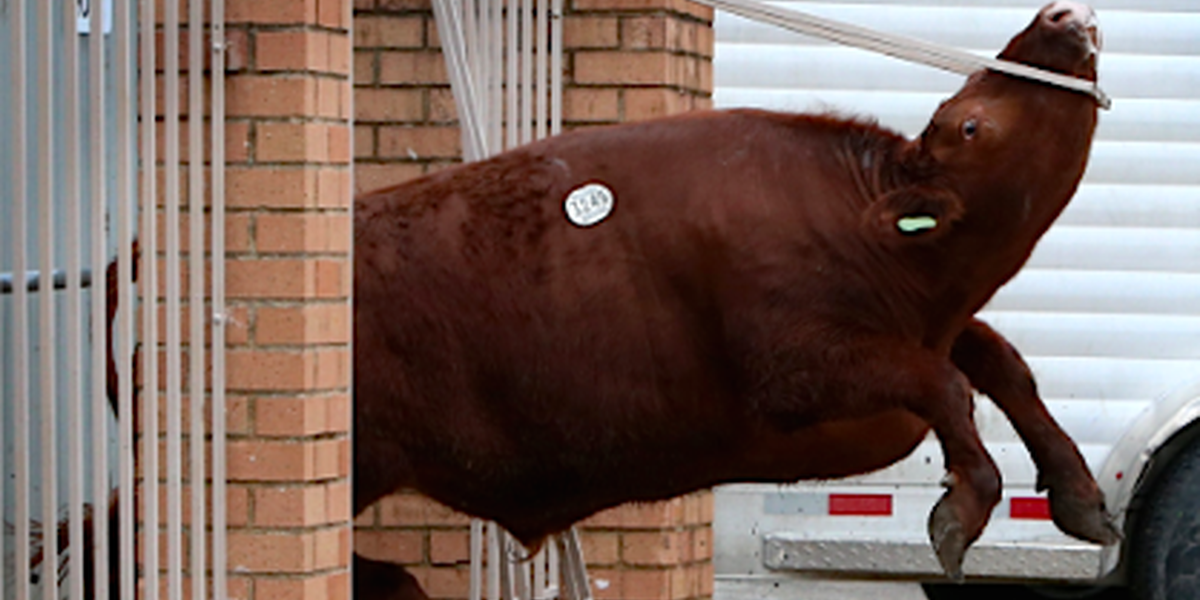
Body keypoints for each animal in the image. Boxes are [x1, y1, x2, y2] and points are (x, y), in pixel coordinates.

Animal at [352, 2, 1118, 597]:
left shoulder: (934, 330)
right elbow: (945, 383)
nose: (1062, 16)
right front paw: (963, 508)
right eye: (966, 122)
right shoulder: (793, 373)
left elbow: (1001, 364)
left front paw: (1081, 495)